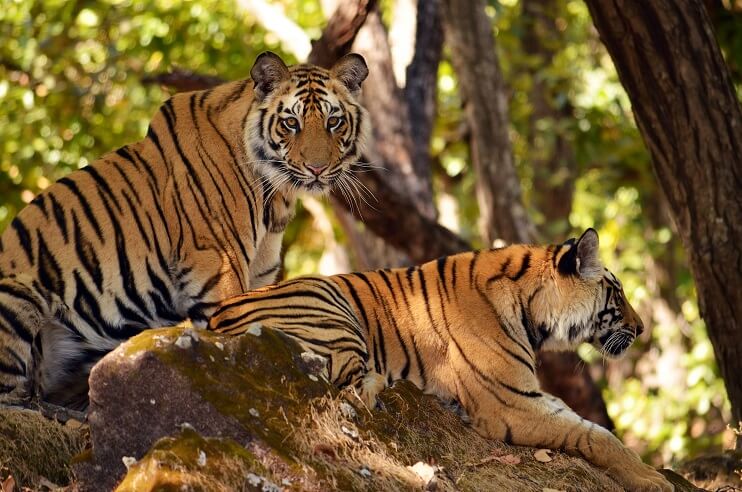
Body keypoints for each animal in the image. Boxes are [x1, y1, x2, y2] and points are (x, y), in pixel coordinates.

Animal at [0, 51, 371, 409]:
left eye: (334, 121)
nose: (317, 168)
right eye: (291, 122)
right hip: (19, 295)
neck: (276, 197)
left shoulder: (259, 278)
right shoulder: (220, 266)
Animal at [209, 229, 672, 492]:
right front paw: (653, 480)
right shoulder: (512, 403)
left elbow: (591, 428)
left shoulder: (525, 395)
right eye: (617, 293)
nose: (642, 329)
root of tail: (216, 317)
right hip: (328, 304)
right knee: (350, 384)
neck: (532, 309)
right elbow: (597, 435)